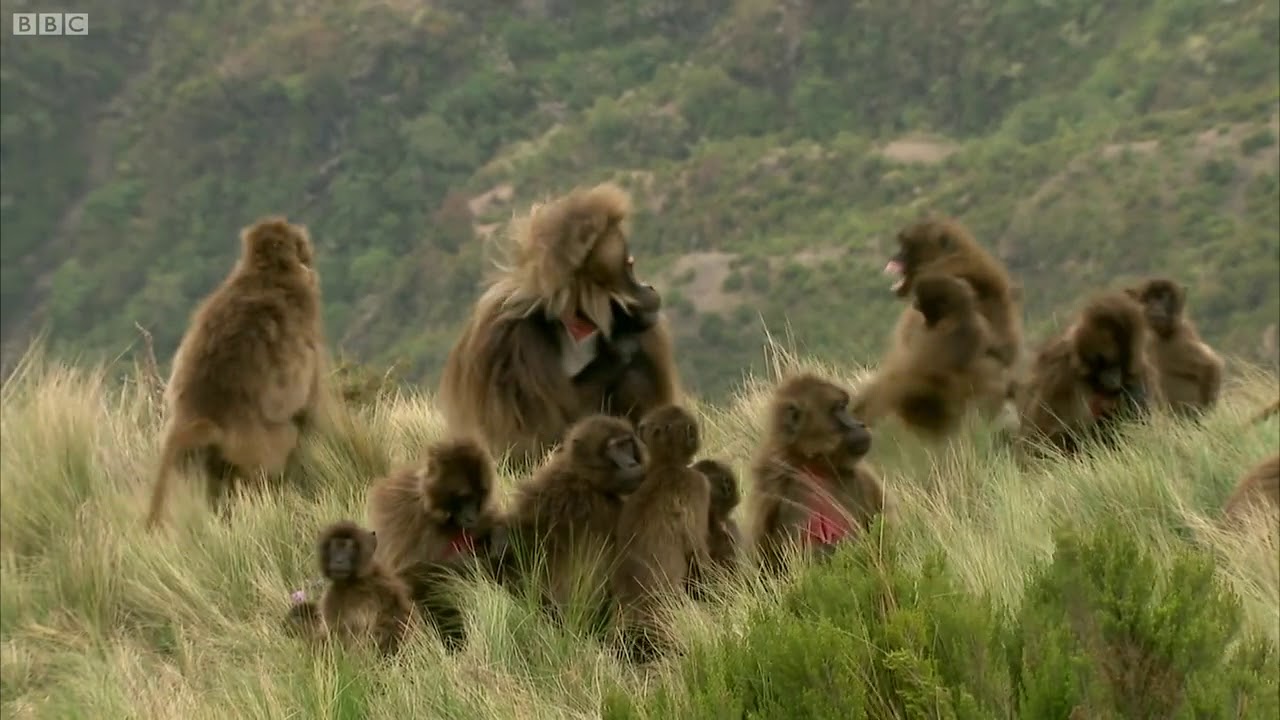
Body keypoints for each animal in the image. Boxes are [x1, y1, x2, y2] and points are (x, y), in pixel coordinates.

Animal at [145, 216, 335, 529]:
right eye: (299, 244)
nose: (308, 251)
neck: (264, 273)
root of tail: (200, 415)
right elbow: (300, 400)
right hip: (255, 448)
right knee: (284, 441)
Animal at [748, 373, 889, 576]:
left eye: (844, 406)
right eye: (838, 408)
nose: (860, 425)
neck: (811, 464)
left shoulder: (860, 478)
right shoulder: (790, 494)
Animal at [1016, 291, 1164, 455]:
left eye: (1120, 362)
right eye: (1103, 362)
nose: (1114, 378)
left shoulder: (1139, 371)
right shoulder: (1058, 370)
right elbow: (1043, 432)